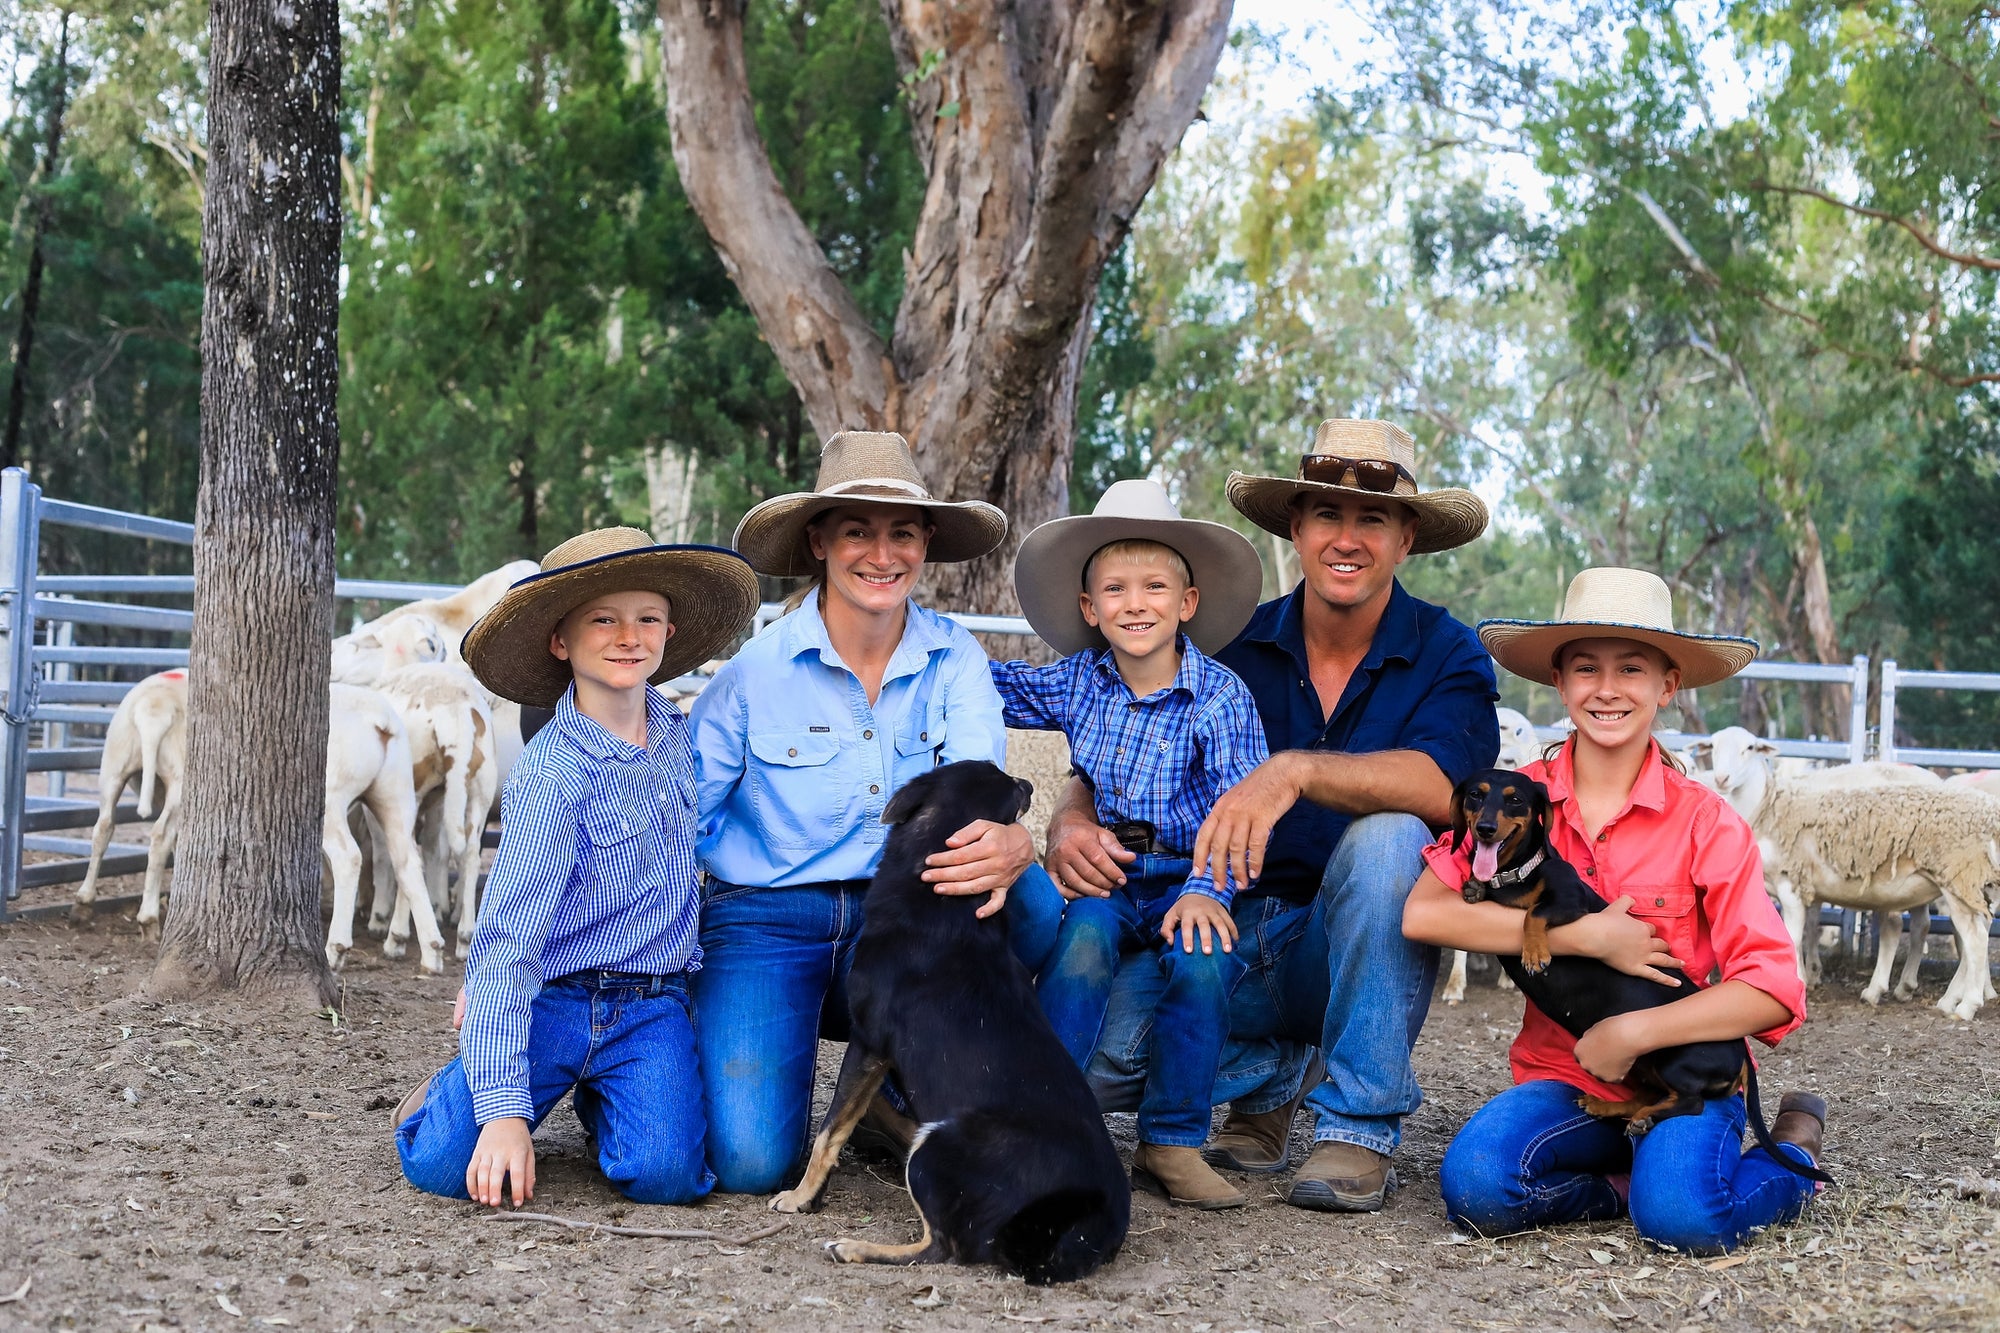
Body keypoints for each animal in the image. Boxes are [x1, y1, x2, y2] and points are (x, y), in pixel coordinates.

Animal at [71, 670, 188, 935]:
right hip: (179, 781)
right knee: (160, 836)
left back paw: (83, 903)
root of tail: (156, 705)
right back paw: (149, 919)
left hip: (114, 767)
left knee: (103, 827)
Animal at [1705, 726, 2000, 1020]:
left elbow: (1793, 936)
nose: (1721, 779)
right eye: (1713, 747)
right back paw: (1945, 998)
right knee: (1967, 934)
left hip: (1959, 879)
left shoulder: (1791, 883)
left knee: (1974, 939)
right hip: (1970, 885)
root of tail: (1990, 812)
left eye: (1750, 748)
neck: (1768, 808)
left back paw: (1966, 1004)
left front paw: (1799, 982)